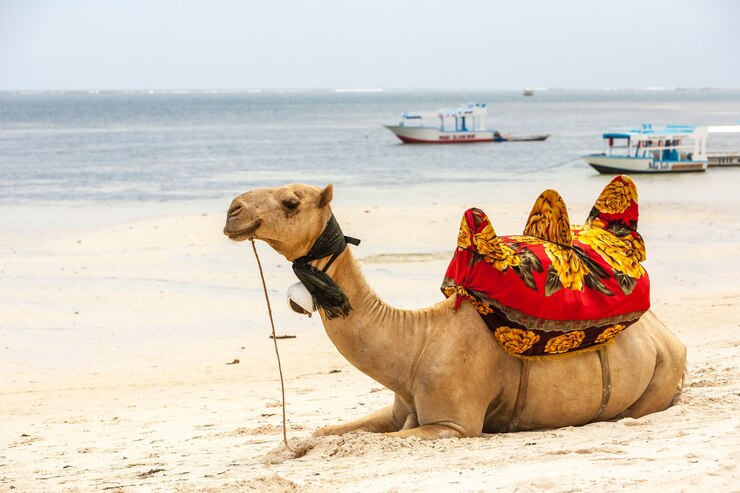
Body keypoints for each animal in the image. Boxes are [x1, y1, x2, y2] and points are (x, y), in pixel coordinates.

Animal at [223, 182, 686, 440]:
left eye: (290, 202)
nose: (232, 211)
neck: (415, 344)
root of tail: (670, 336)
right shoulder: (399, 409)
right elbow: (323, 433)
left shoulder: (453, 424)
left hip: (660, 378)